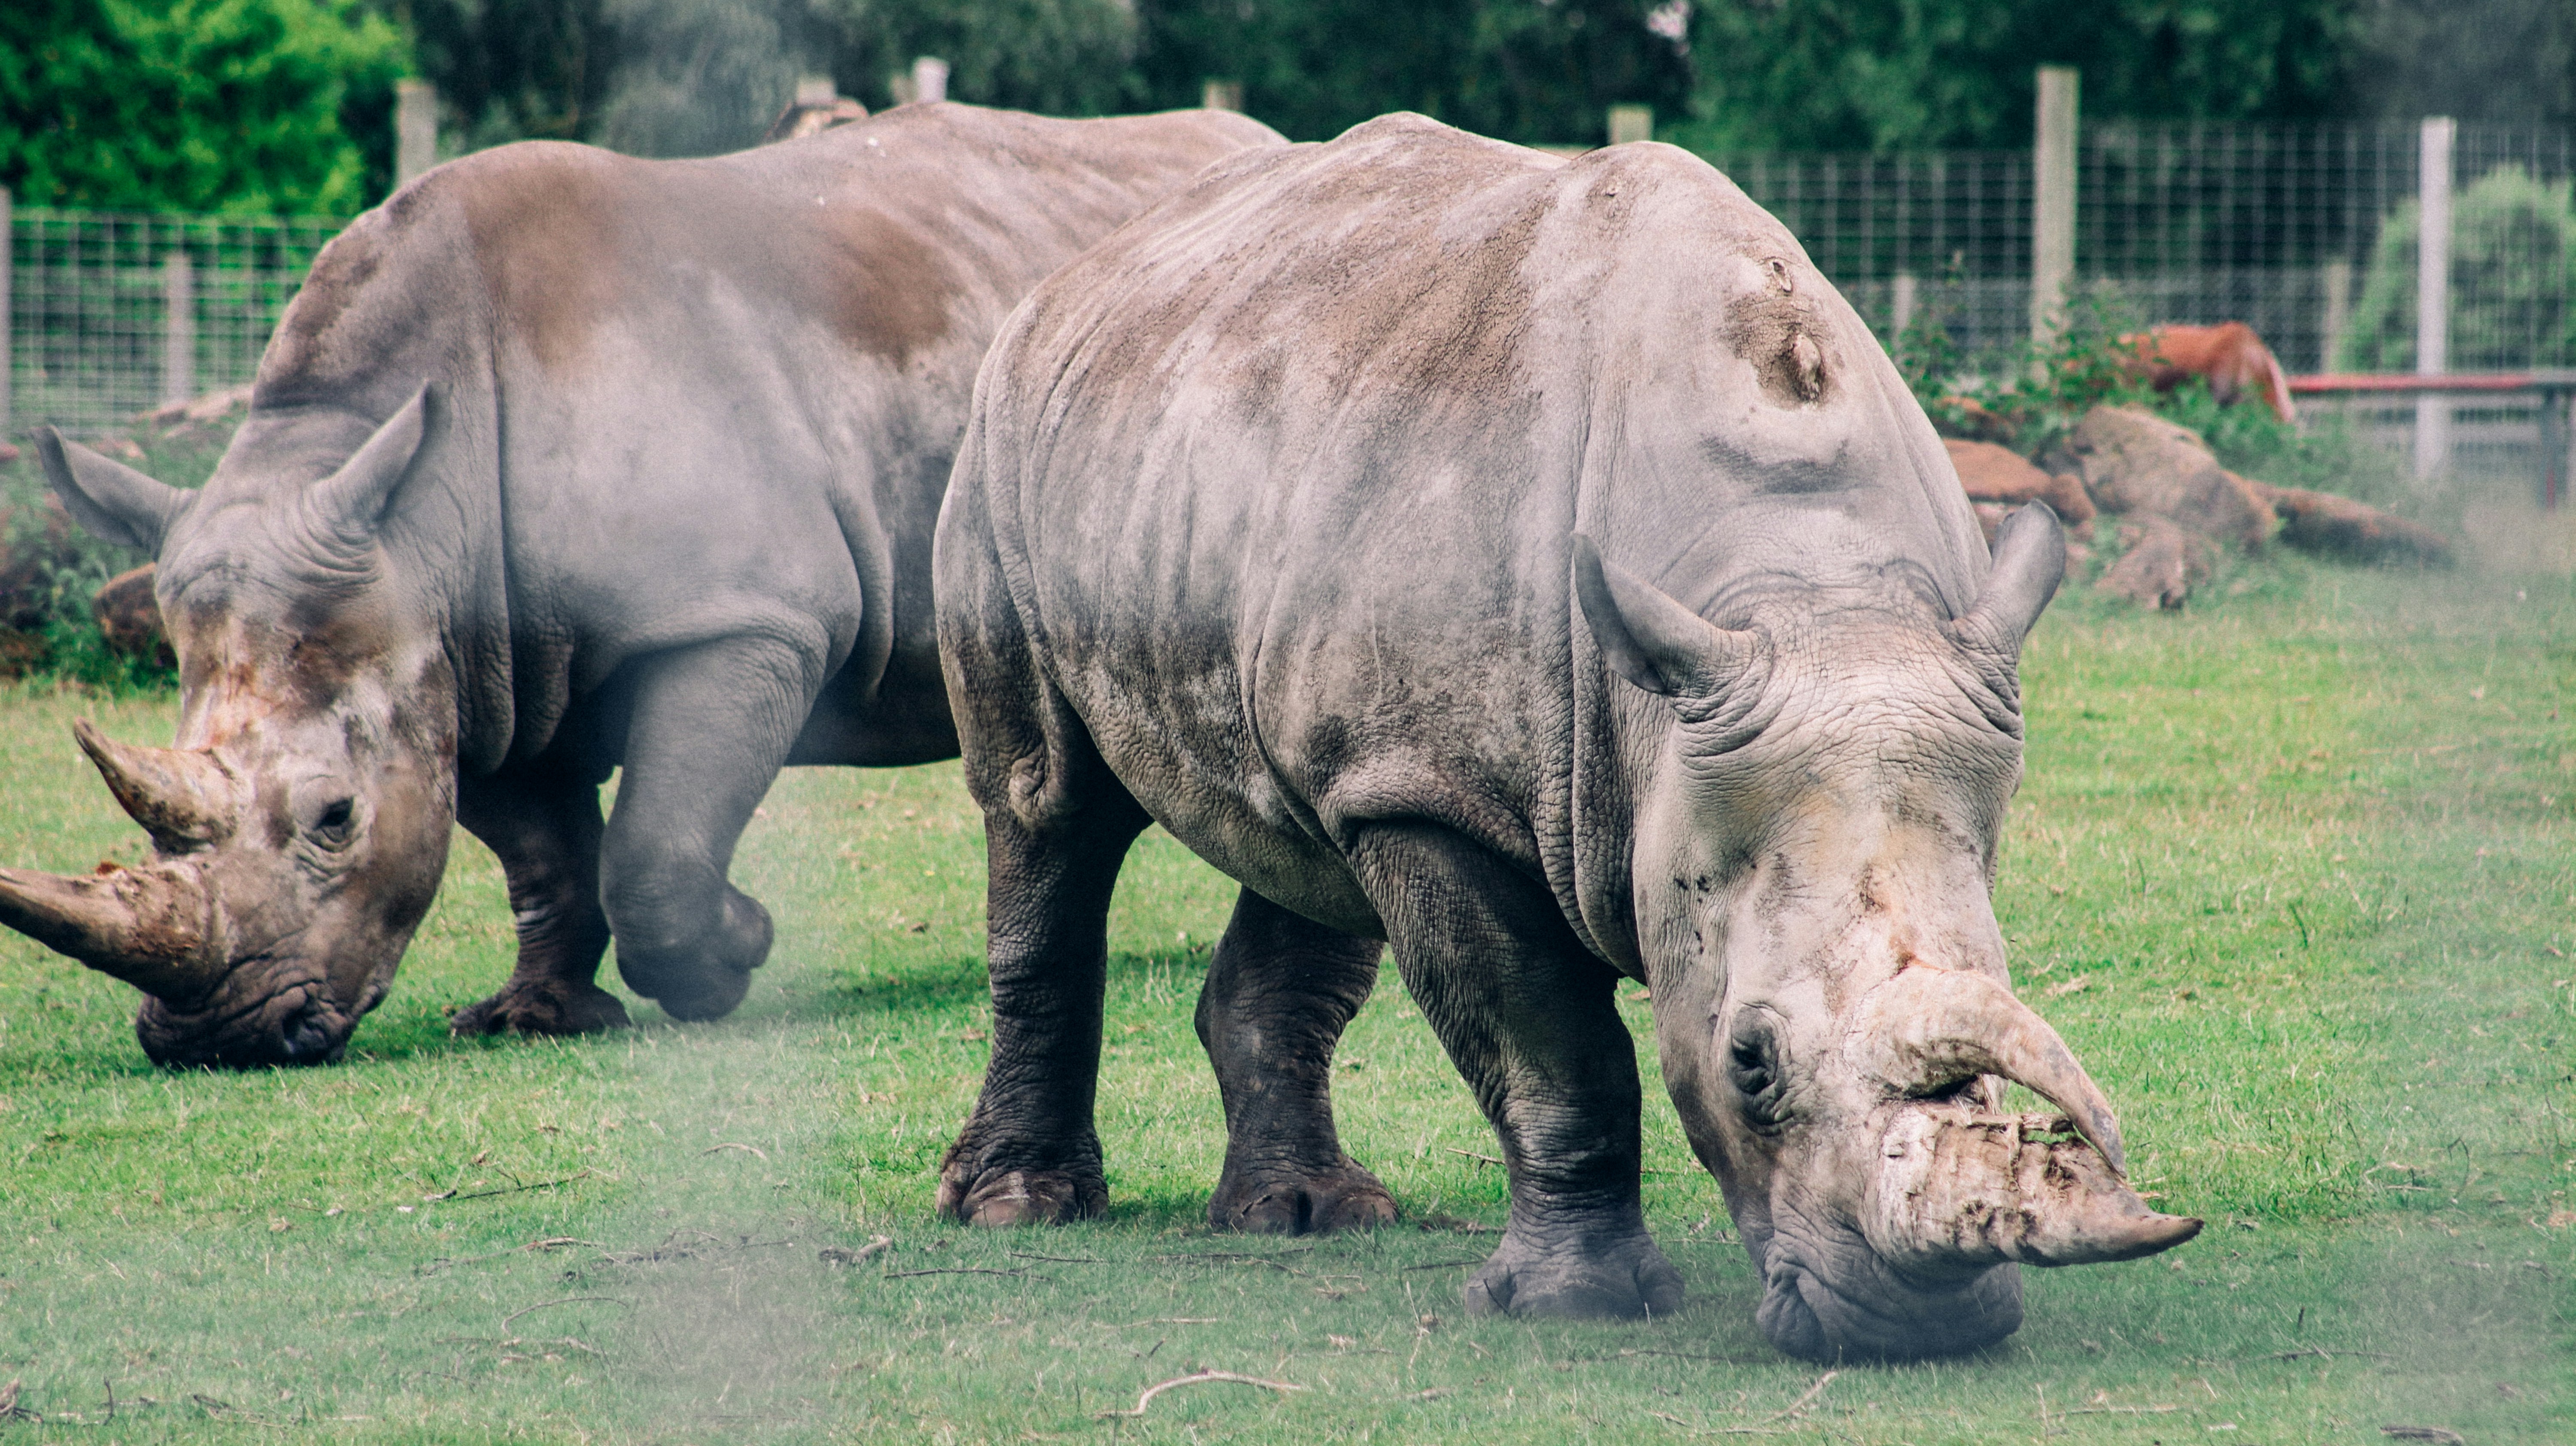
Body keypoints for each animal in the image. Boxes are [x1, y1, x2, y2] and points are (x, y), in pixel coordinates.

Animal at [4, 101, 1280, 1068]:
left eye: (334, 820)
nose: (213, 1039)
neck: (415, 512)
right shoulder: (471, 664)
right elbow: (544, 854)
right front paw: (535, 1020)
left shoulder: (746, 619)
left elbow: (656, 844)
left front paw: (736, 955)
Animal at [931, 115, 2200, 1360]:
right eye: (1749, 1062)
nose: (1916, 1329)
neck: (1804, 597)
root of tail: (1088, 267)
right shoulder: (1442, 800)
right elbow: (1557, 1051)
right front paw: (1572, 1305)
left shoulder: (1425, 766)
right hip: (1000, 444)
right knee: (1046, 806)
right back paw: (1016, 1208)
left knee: (1304, 839)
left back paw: (1310, 1218)